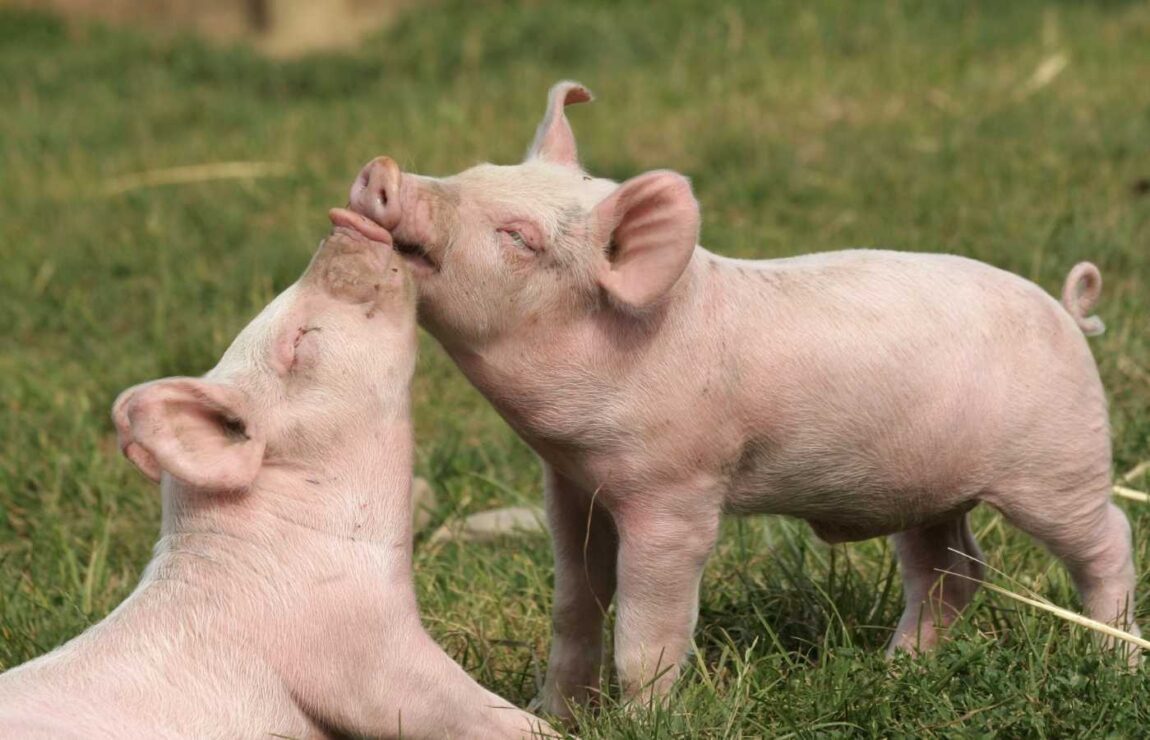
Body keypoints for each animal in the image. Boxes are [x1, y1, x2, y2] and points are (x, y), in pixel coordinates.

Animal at [347, 81, 1141, 718]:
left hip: (1057, 464)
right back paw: (896, 672)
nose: (382, 169)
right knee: (950, 569)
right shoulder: (569, 484)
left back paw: (1118, 662)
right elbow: (574, 605)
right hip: (924, 487)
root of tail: (1068, 314)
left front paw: (644, 721)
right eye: (472, 172)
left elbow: (647, 630)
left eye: (518, 236)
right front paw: (554, 713)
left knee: (1108, 540)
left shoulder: (677, 492)